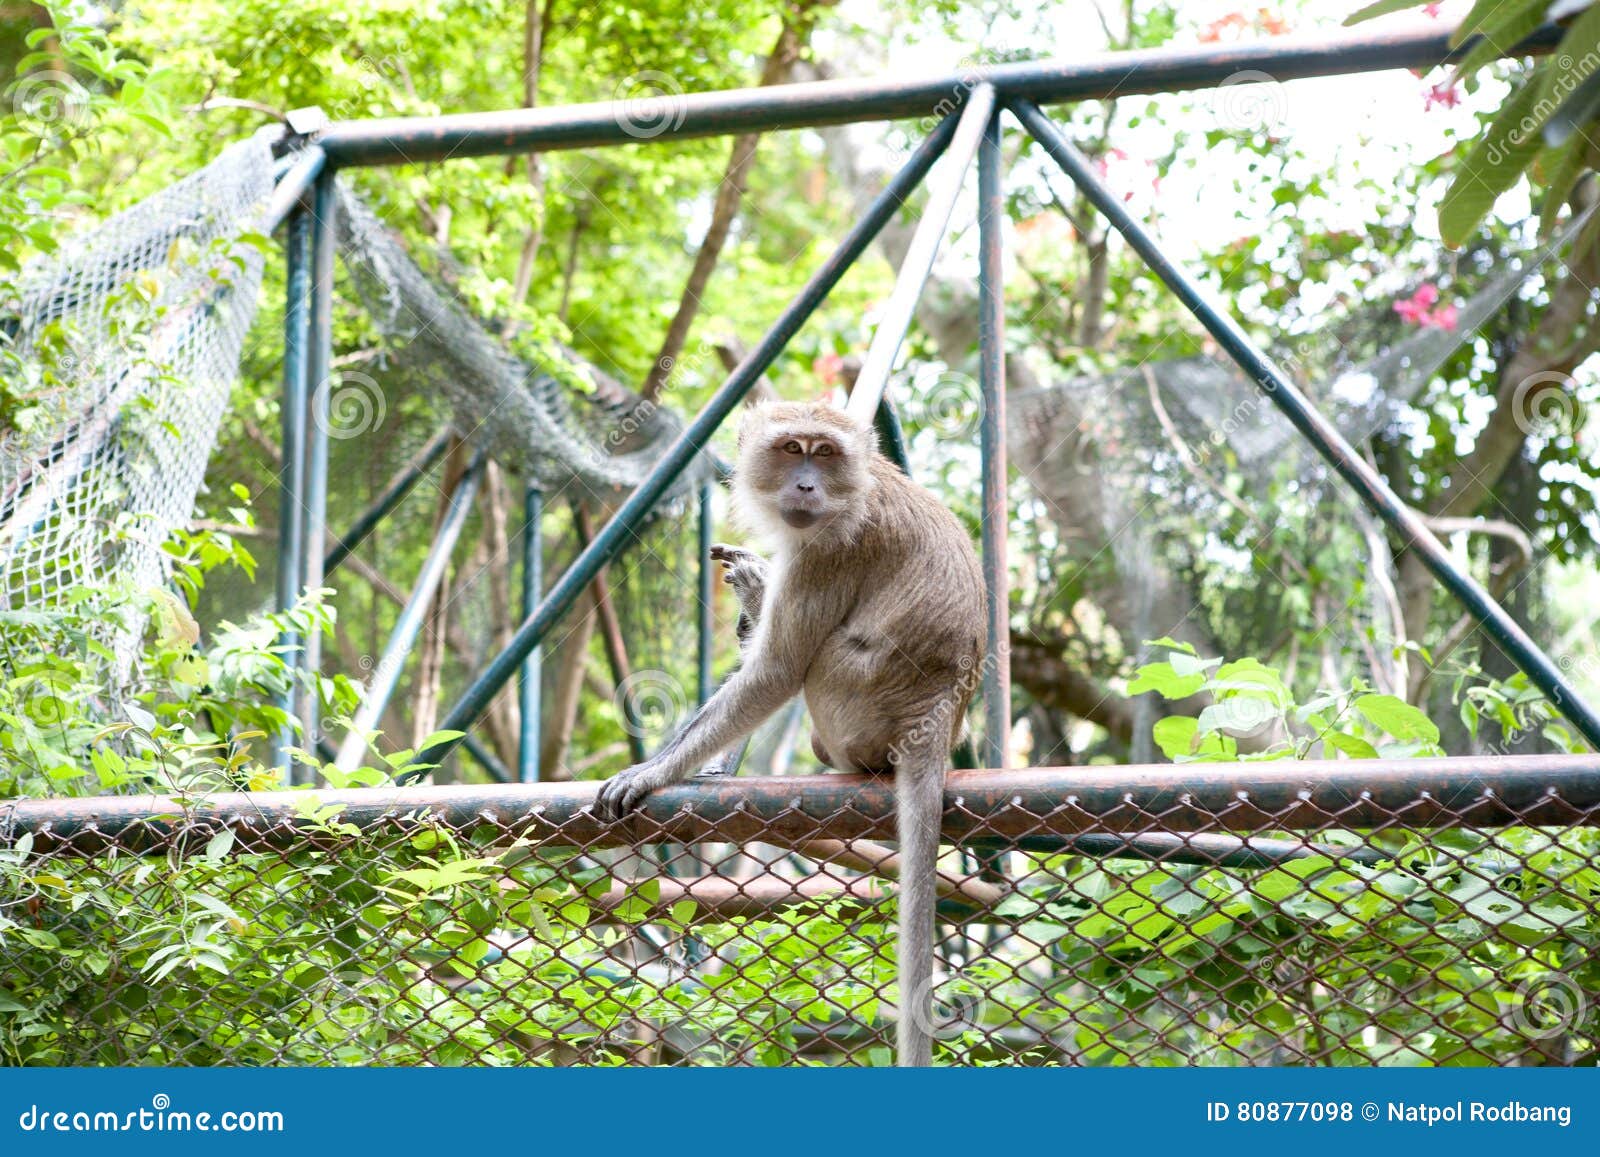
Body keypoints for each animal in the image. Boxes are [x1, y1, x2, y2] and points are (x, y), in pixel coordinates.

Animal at [595, 398, 987, 1066]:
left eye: (824, 453)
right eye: (791, 450)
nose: (805, 485)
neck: (857, 488)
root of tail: (934, 719)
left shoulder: (828, 549)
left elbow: (778, 671)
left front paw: (653, 770)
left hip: (852, 705)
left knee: (818, 662)